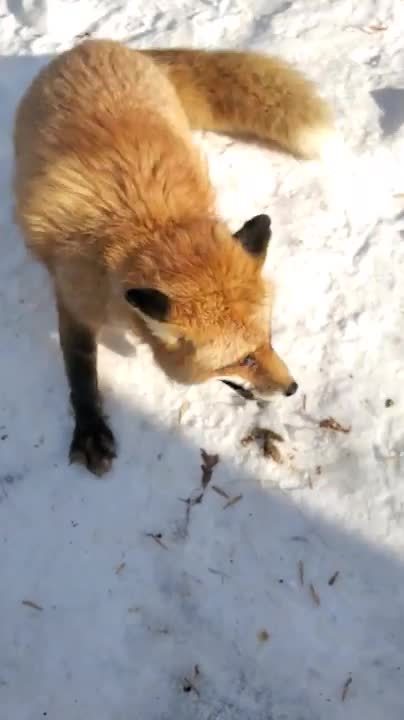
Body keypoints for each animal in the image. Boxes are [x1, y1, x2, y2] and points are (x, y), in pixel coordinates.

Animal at [13, 39, 334, 476]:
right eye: (243, 360)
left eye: (268, 339)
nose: (292, 387)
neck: (146, 226)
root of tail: (102, 43)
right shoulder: (74, 296)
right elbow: (79, 368)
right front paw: (90, 428)